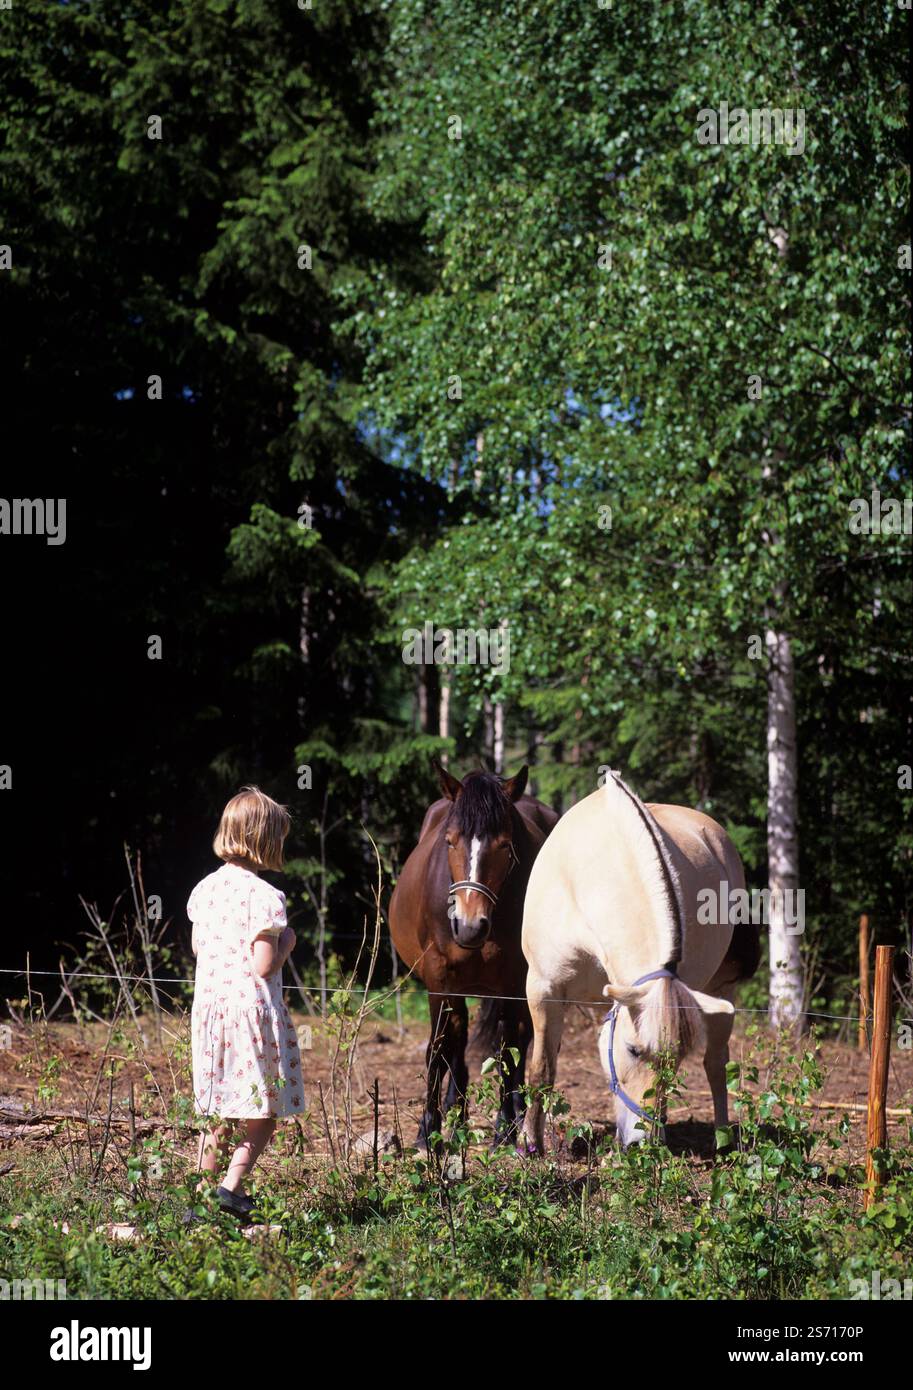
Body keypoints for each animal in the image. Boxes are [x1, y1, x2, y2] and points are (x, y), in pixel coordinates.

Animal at [389, 761, 558, 1149]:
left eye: (505, 845)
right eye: (450, 841)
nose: (469, 926)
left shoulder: (513, 981)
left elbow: (508, 1050)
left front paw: (504, 1127)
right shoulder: (439, 978)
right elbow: (438, 1048)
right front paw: (428, 1130)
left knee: (520, 1039)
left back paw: (516, 1114)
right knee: (457, 1036)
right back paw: (458, 1114)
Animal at [520, 770, 760, 1152]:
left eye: (676, 1059)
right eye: (633, 1050)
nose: (639, 1142)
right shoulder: (544, 987)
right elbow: (543, 1066)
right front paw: (530, 1144)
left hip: (721, 991)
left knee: (715, 1064)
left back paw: (722, 1138)